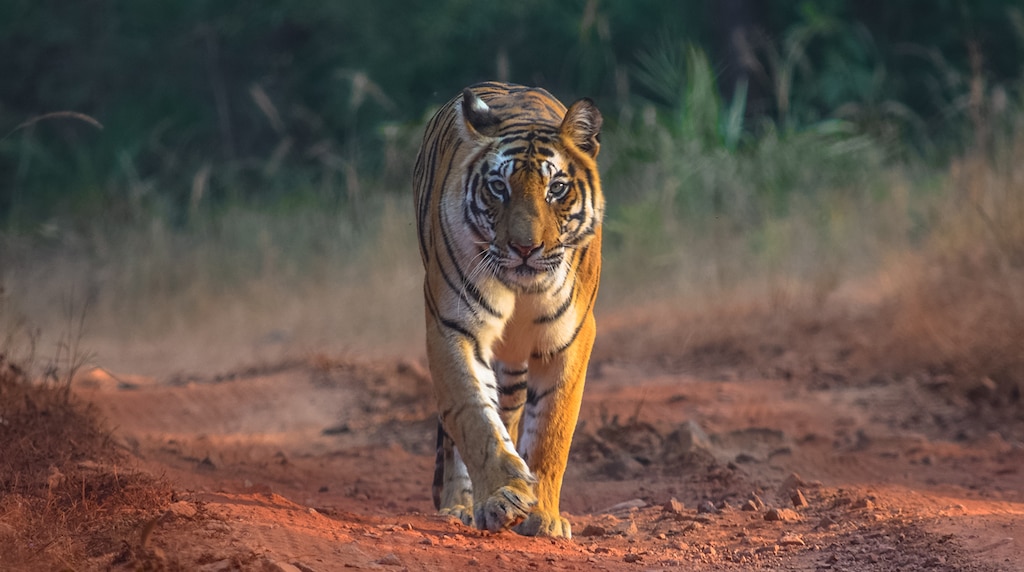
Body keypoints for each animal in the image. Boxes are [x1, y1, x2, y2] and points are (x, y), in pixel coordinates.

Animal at [412, 81, 603, 539]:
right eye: (499, 188)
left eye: (556, 188)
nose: (524, 248)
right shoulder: (452, 327)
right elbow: (474, 416)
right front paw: (503, 497)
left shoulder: (570, 338)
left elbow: (553, 427)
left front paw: (544, 517)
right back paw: (459, 506)